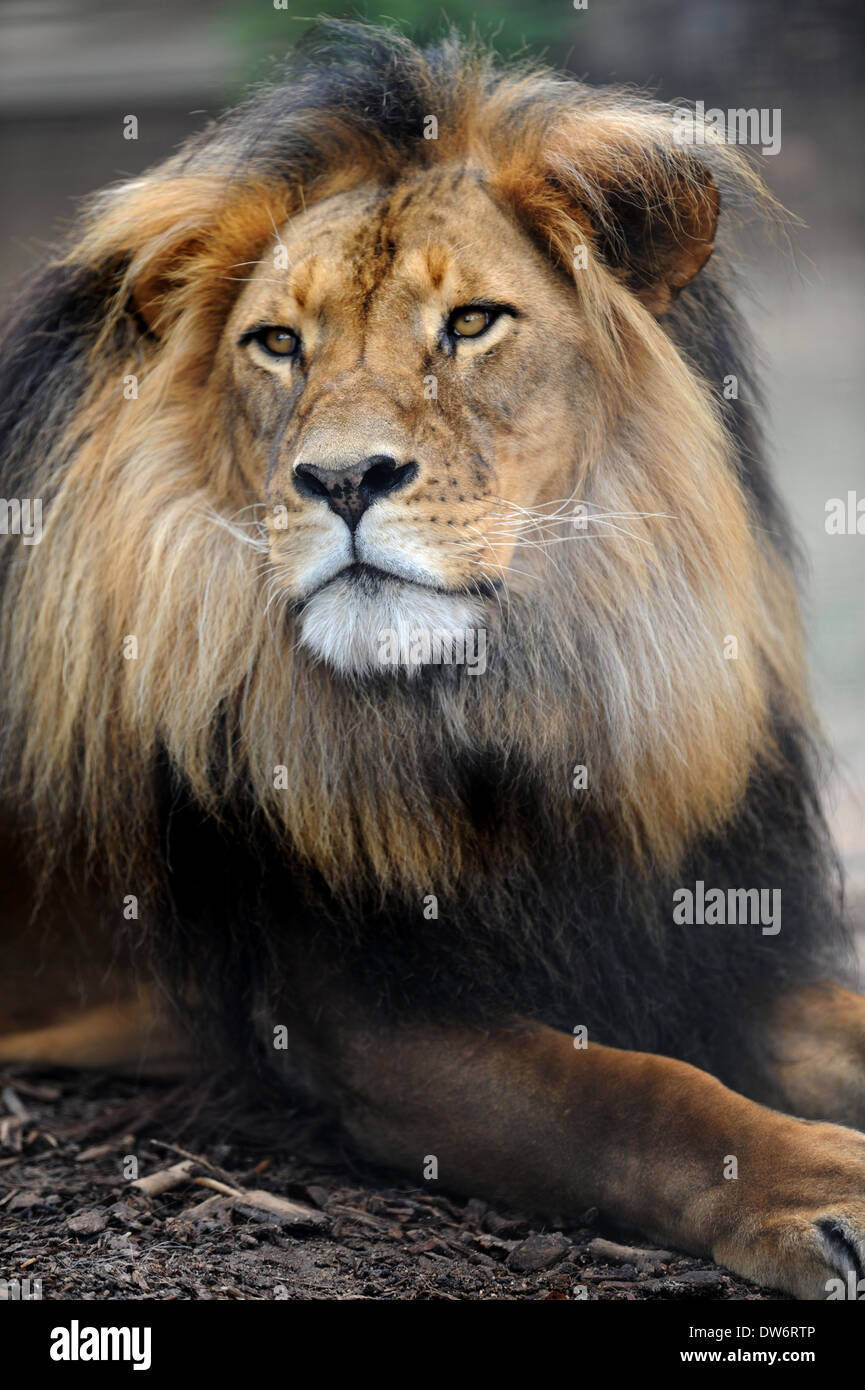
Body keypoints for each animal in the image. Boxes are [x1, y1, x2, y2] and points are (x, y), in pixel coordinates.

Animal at [1, 23, 864, 1300]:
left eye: (469, 324)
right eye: (277, 344)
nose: (342, 478)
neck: (518, 705)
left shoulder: (691, 951)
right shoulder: (368, 1024)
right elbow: (636, 1094)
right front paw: (823, 1184)